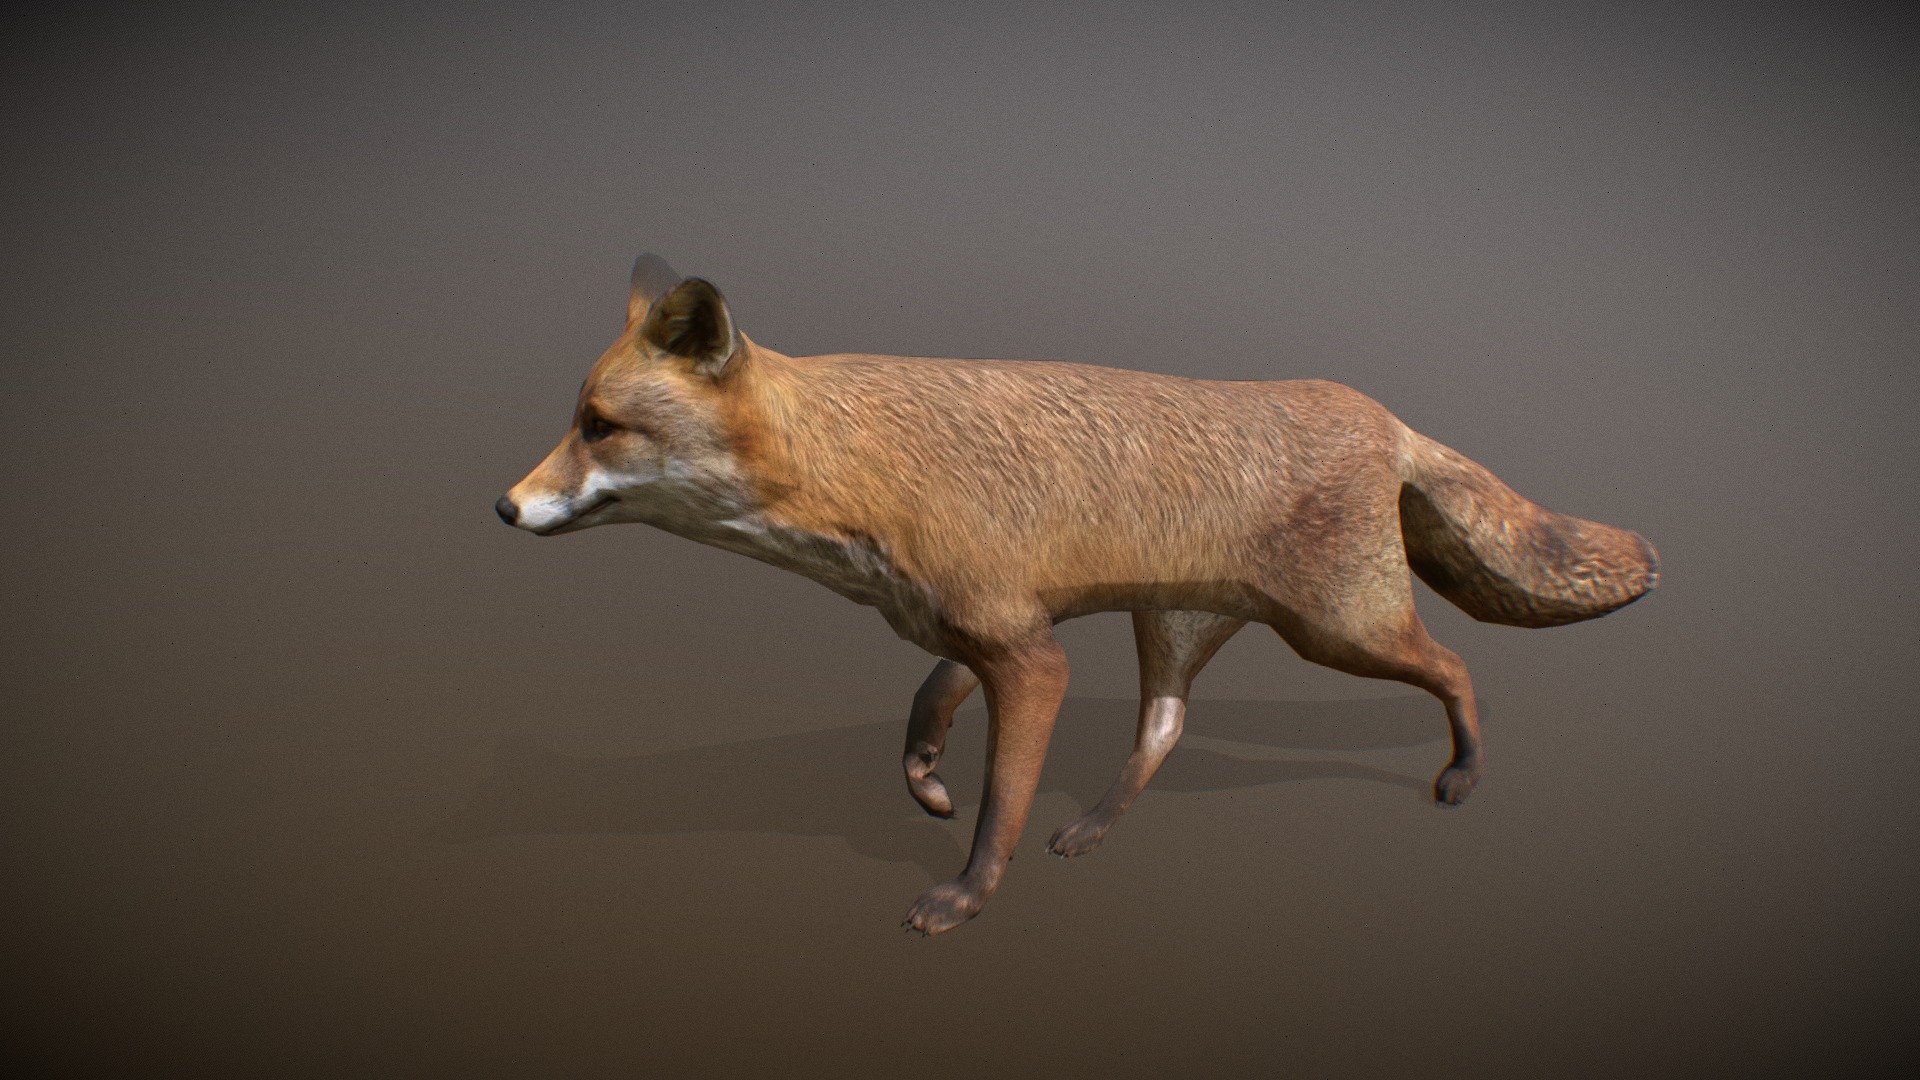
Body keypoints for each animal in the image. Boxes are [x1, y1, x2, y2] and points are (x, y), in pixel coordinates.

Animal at [496, 254, 1659, 935]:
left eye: (598, 427)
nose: (504, 509)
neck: (857, 468)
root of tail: (1382, 414)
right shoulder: (986, 626)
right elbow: (926, 705)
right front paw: (926, 783)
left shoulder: (1030, 654)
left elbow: (1002, 800)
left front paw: (967, 894)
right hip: (1178, 629)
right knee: (1163, 732)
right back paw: (1093, 830)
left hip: (1342, 630)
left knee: (1457, 664)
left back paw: (1463, 776)